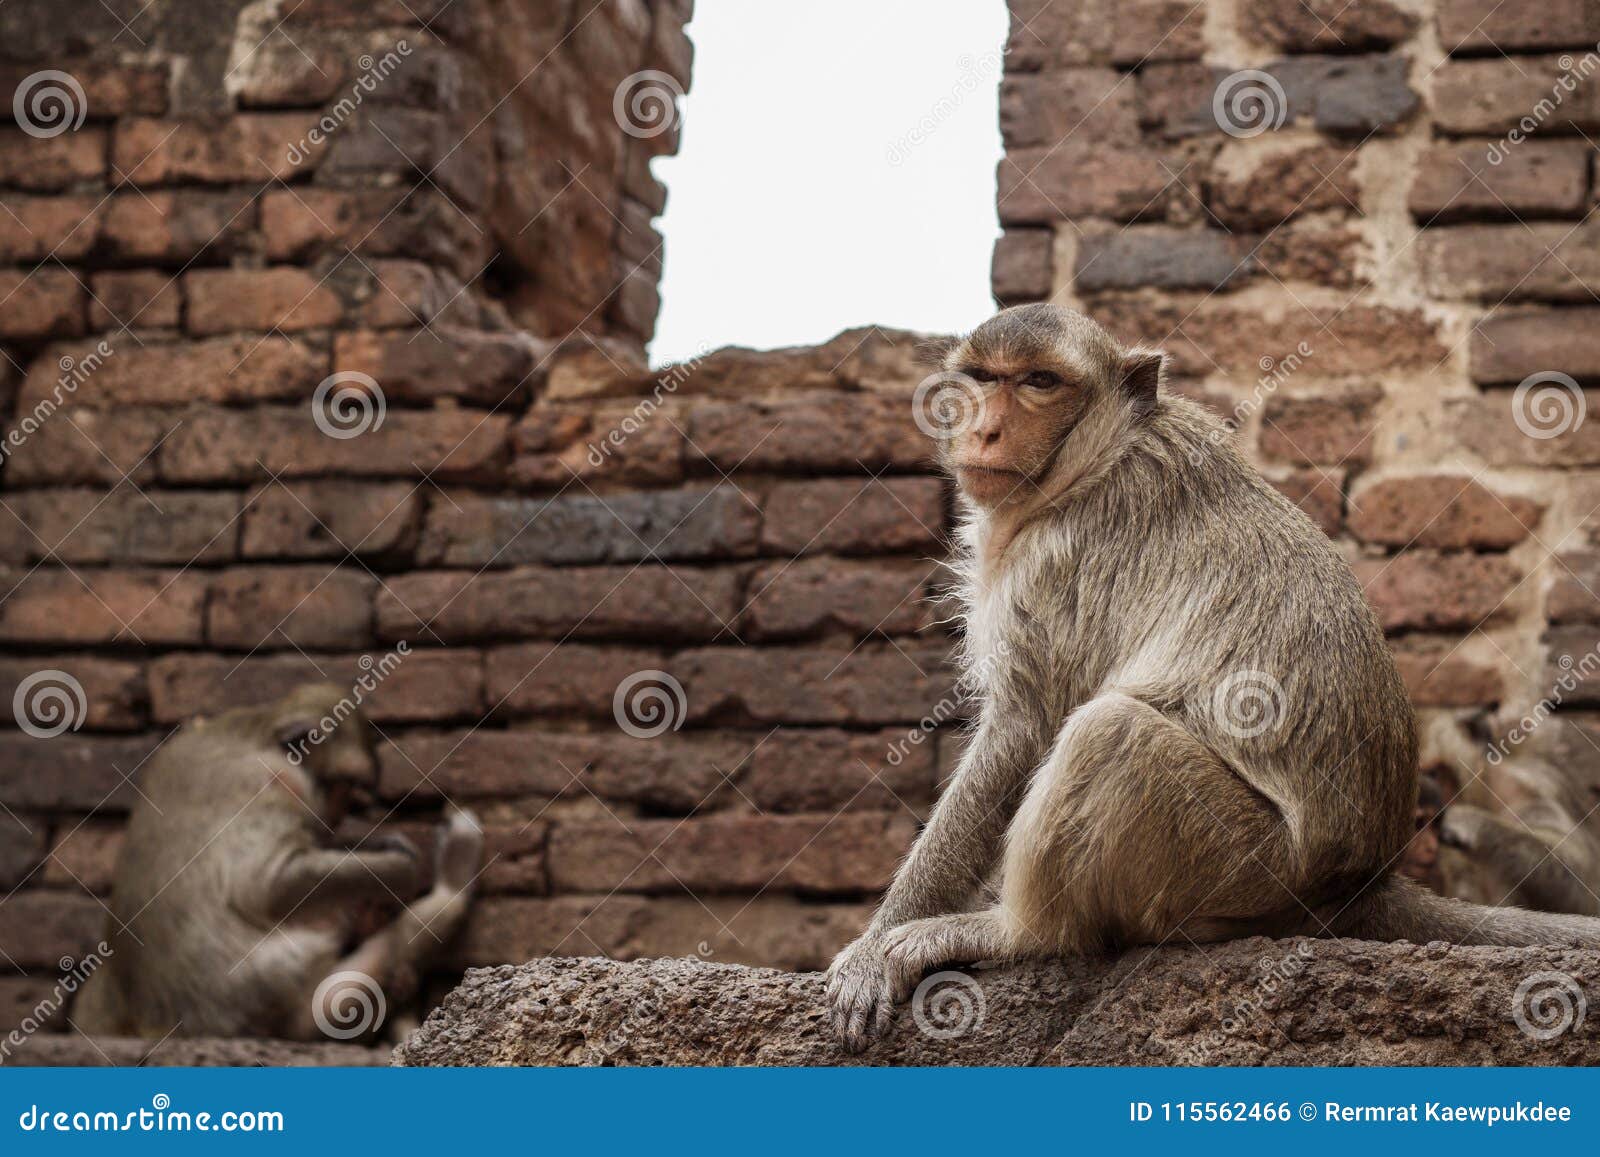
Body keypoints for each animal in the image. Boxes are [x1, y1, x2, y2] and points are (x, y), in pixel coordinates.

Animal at [72, 682, 483, 1043]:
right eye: (344, 788)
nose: (341, 810)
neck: (254, 731)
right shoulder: (274, 782)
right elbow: (269, 885)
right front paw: (399, 872)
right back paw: (453, 880)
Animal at [825, 303, 1600, 1052]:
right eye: (984, 379)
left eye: (1040, 382)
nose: (983, 431)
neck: (1094, 458)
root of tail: (1356, 884)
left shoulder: (1056, 564)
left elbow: (1024, 729)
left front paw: (871, 947)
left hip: (1242, 864)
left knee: (1114, 733)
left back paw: (1018, 932)